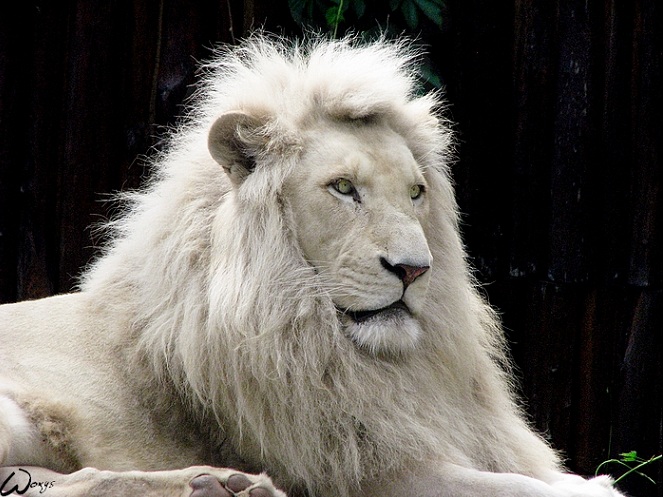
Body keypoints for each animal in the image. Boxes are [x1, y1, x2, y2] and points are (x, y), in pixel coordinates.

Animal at [0, 35, 624, 497]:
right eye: (343, 188)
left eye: (417, 193)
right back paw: (217, 485)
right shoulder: (364, 471)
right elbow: (515, 487)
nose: (414, 269)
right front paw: (594, 487)